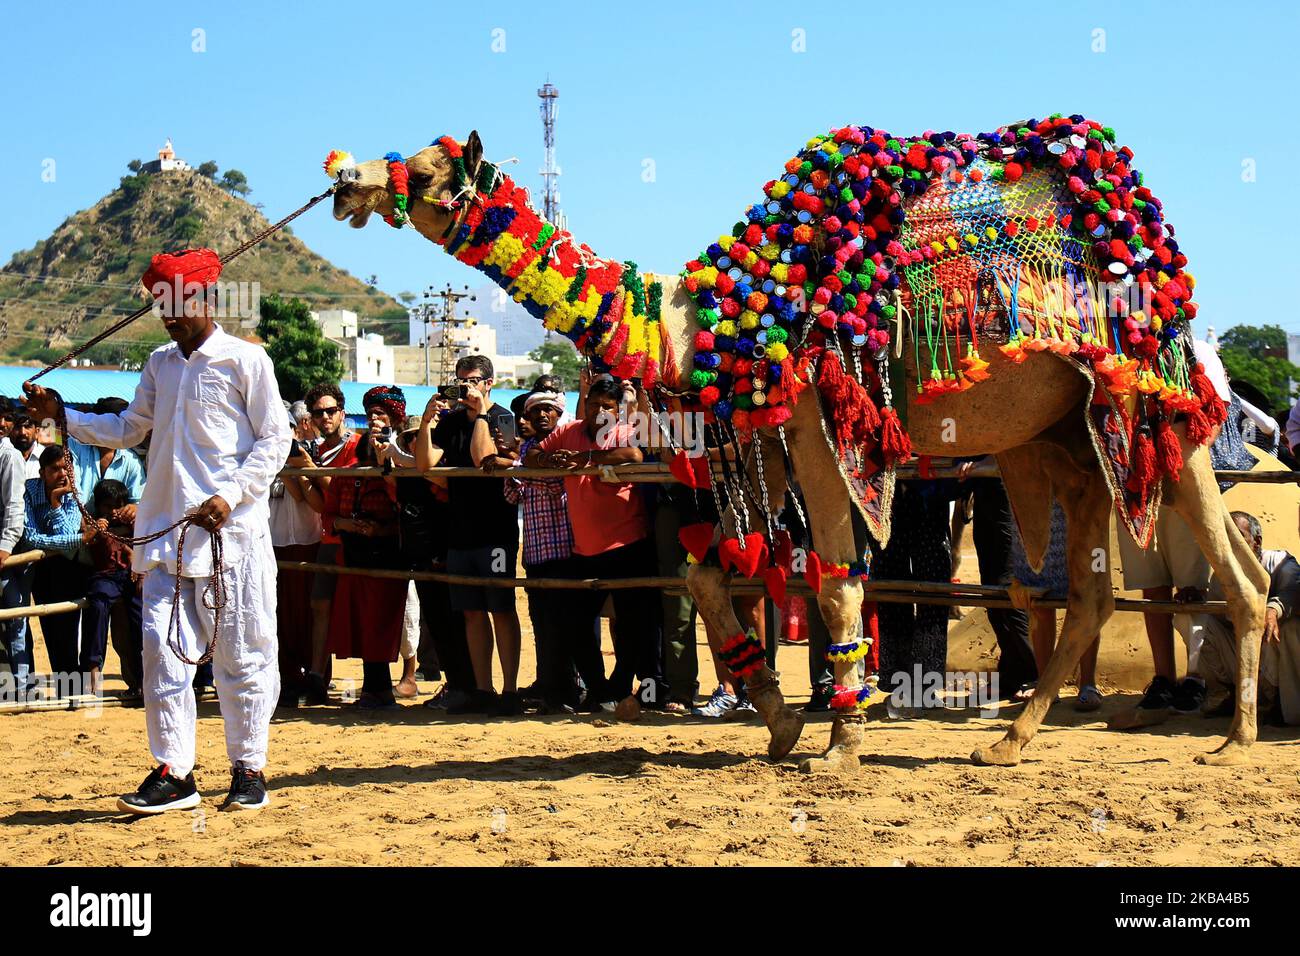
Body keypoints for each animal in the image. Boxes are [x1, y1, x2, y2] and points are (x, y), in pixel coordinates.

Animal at [322, 122, 1268, 770]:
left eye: (428, 166)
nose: (345, 179)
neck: (707, 318)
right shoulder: (759, 442)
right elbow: (711, 573)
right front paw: (779, 720)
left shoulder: (816, 428)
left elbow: (838, 583)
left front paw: (842, 741)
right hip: (1067, 437)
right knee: (1093, 589)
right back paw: (1009, 740)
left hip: (1155, 399)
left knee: (1238, 573)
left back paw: (1234, 739)